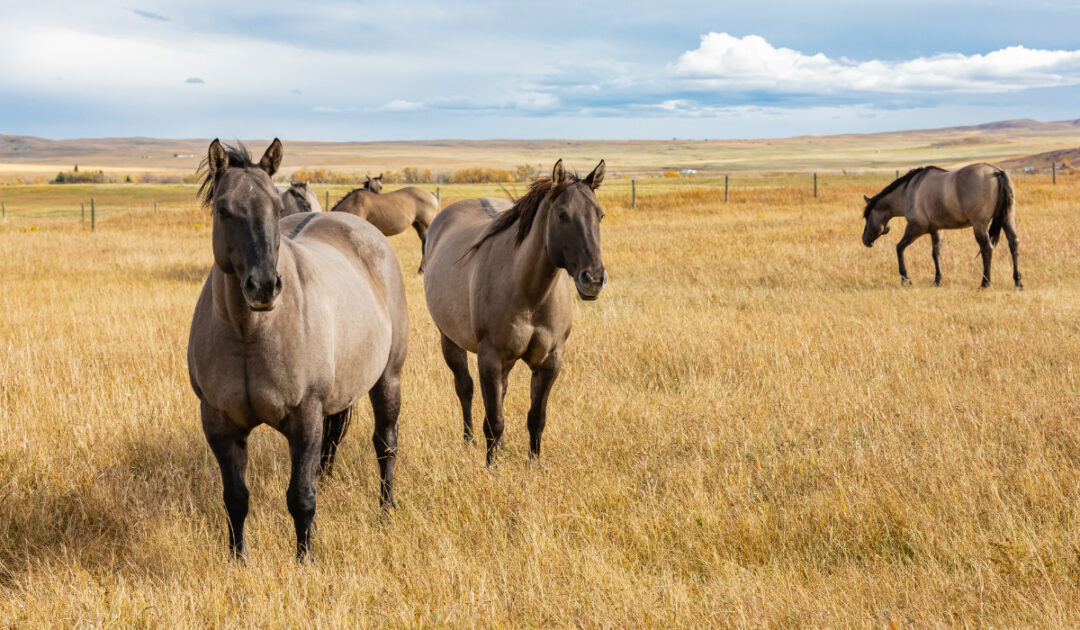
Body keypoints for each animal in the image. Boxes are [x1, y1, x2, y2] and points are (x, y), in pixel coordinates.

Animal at [187, 139, 408, 561]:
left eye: (276, 207)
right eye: (224, 210)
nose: (264, 286)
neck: (248, 334)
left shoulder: (305, 418)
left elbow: (301, 497)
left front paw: (304, 561)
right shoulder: (219, 423)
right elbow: (236, 498)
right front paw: (237, 560)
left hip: (388, 378)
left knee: (385, 445)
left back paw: (387, 513)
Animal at [421, 159, 607, 465]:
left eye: (600, 215)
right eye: (562, 215)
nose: (593, 279)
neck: (528, 293)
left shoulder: (550, 361)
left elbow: (536, 418)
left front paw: (534, 464)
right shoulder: (490, 359)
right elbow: (494, 420)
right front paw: (492, 466)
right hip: (449, 340)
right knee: (465, 388)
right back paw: (469, 441)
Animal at [862, 164, 1021, 289]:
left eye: (866, 217)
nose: (864, 240)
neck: (909, 191)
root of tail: (997, 172)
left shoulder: (915, 228)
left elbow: (899, 248)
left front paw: (905, 279)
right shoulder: (936, 231)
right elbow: (935, 254)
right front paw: (937, 280)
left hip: (979, 226)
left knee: (987, 249)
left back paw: (985, 283)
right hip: (1007, 219)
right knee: (1013, 243)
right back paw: (1017, 281)